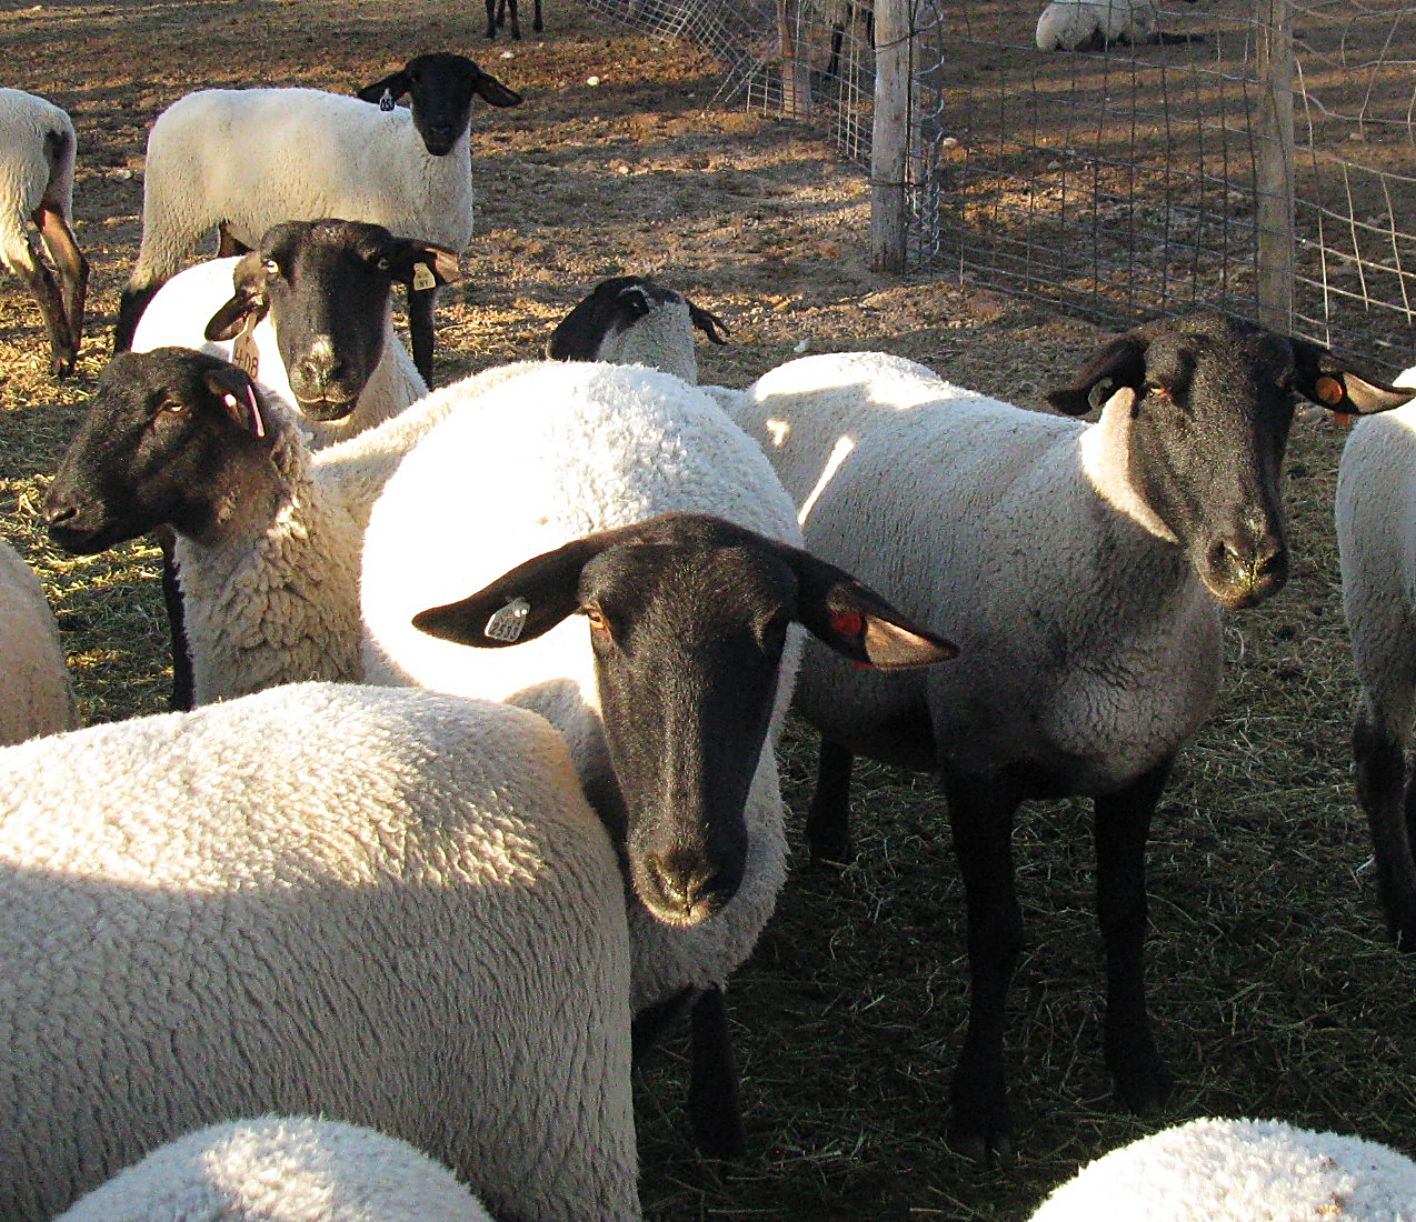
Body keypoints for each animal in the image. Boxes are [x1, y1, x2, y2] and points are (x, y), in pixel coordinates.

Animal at [0, 88, 88, 377]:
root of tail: (53, 125)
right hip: (55, 191)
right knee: (72, 261)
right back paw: (72, 348)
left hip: (11, 193)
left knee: (39, 274)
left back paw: (60, 358)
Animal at [114, 54, 524, 383]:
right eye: (414, 80)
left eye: (469, 83)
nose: (439, 131)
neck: (410, 158)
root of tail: (173, 109)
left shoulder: (428, 271)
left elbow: (424, 338)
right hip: (171, 213)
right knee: (137, 292)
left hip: (229, 223)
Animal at [725, 315, 1414, 1161]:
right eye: (1159, 390)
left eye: (1287, 391)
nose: (1250, 560)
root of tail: (818, 359)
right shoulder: (976, 764)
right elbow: (995, 934)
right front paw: (979, 1106)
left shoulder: (1144, 763)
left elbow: (1125, 913)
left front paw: (1138, 1066)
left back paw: (831, 835)